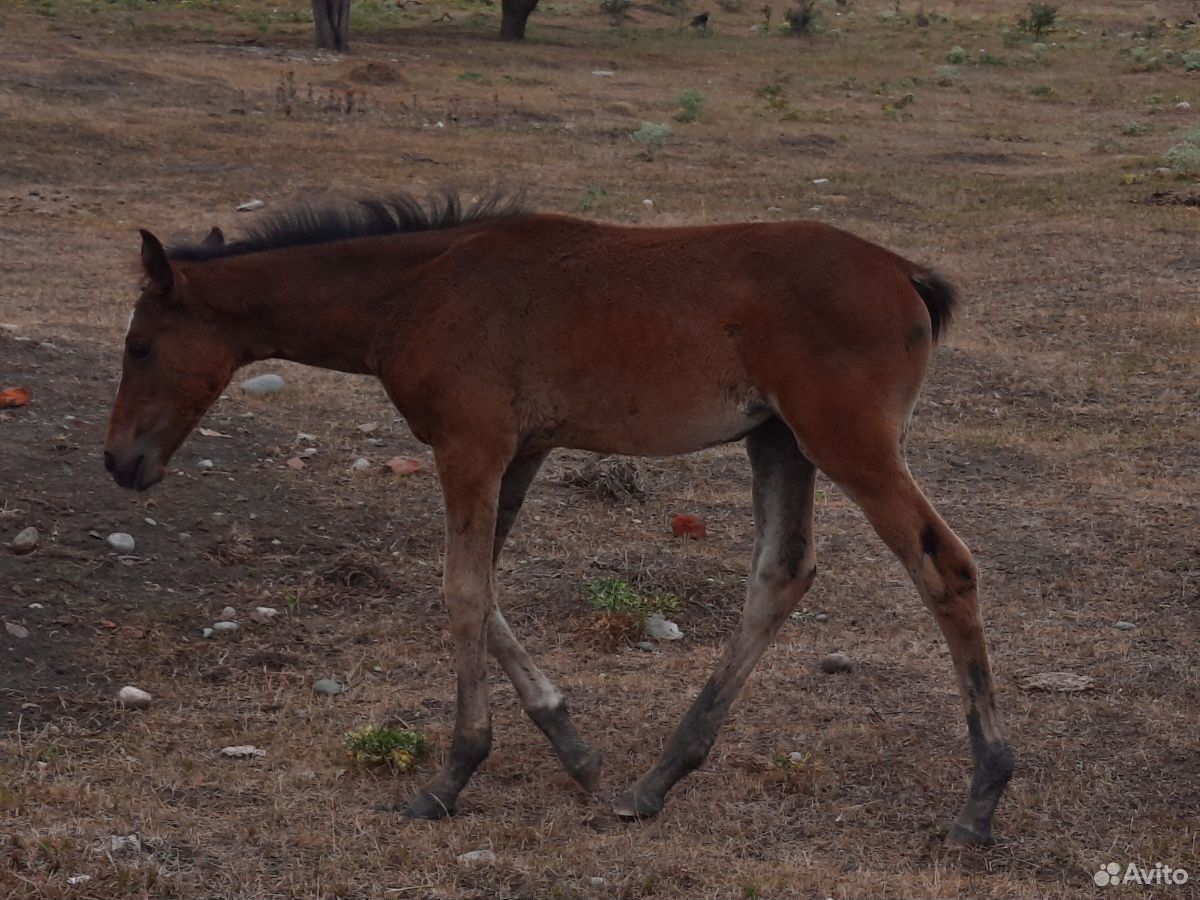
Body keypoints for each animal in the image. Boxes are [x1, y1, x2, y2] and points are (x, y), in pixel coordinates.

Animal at [108, 190, 1017, 844]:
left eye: (139, 346)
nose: (120, 463)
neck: (419, 288)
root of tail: (902, 271)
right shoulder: (522, 451)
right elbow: (483, 587)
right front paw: (574, 748)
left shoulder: (470, 445)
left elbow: (461, 592)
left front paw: (451, 778)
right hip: (780, 442)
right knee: (780, 575)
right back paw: (656, 782)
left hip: (846, 440)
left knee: (944, 565)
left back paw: (981, 801)